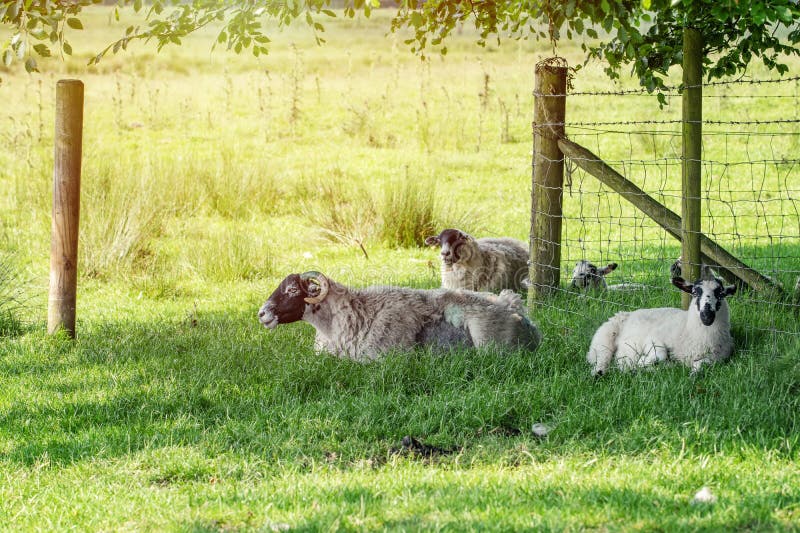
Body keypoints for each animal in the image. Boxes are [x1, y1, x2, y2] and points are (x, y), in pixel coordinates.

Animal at [587, 274, 737, 375]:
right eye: (694, 292)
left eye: (721, 293)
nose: (707, 317)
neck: (685, 329)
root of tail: (629, 313)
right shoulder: (653, 339)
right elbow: (660, 355)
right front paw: (641, 363)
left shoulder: (719, 357)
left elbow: (702, 364)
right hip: (605, 336)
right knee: (602, 356)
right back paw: (599, 372)